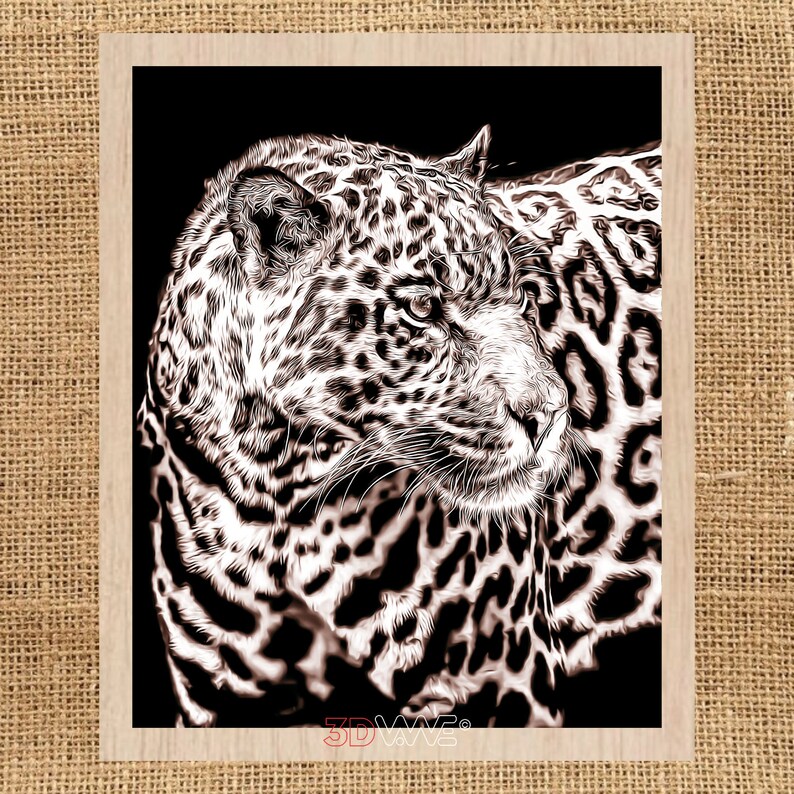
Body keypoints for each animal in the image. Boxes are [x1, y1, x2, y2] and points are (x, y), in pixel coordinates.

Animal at [136, 125, 662, 728]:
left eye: (524, 297)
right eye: (423, 308)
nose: (551, 412)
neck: (275, 492)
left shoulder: (503, 683)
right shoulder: (224, 703)